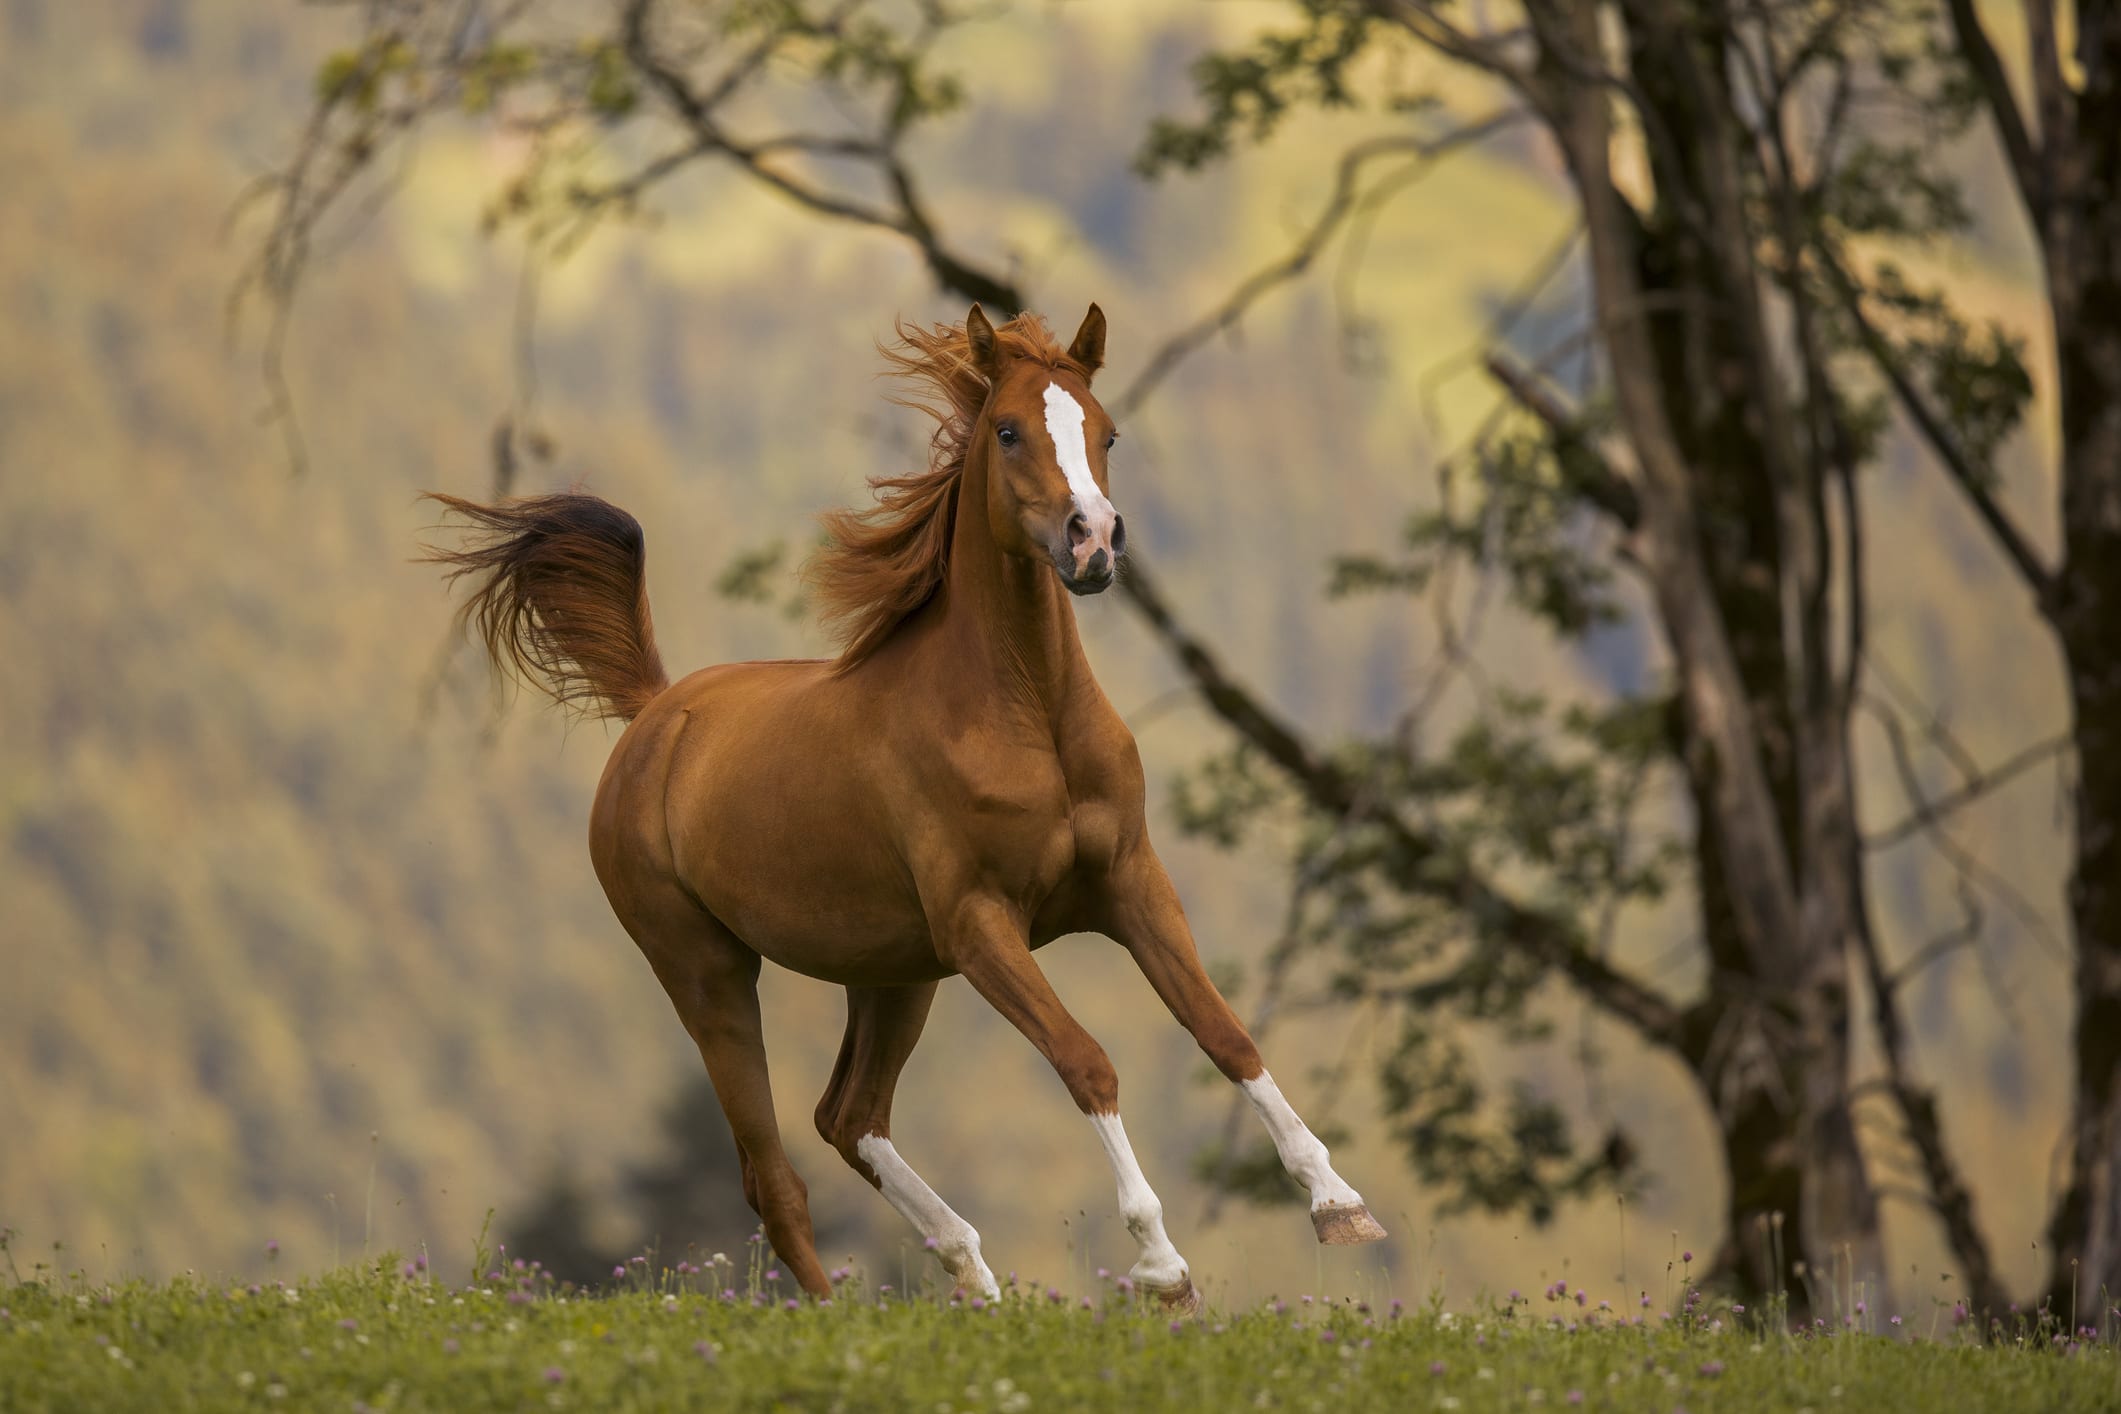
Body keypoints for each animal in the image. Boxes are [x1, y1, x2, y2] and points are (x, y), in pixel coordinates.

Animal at [426, 303, 1385, 1312]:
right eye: (1007, 430)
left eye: (1106, 430)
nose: (1092, 541)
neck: (1028, 718)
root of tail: (655, 715)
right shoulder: (980, 926)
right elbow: (1084, 1059)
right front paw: (1164, 1270)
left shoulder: (1130, 886)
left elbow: (1224, 1032)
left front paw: (1338, 1204)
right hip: (708, 972)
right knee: (774, 1175)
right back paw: (851, 1310)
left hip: (892, 972)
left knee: (847, 1116)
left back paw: (973, 1275)